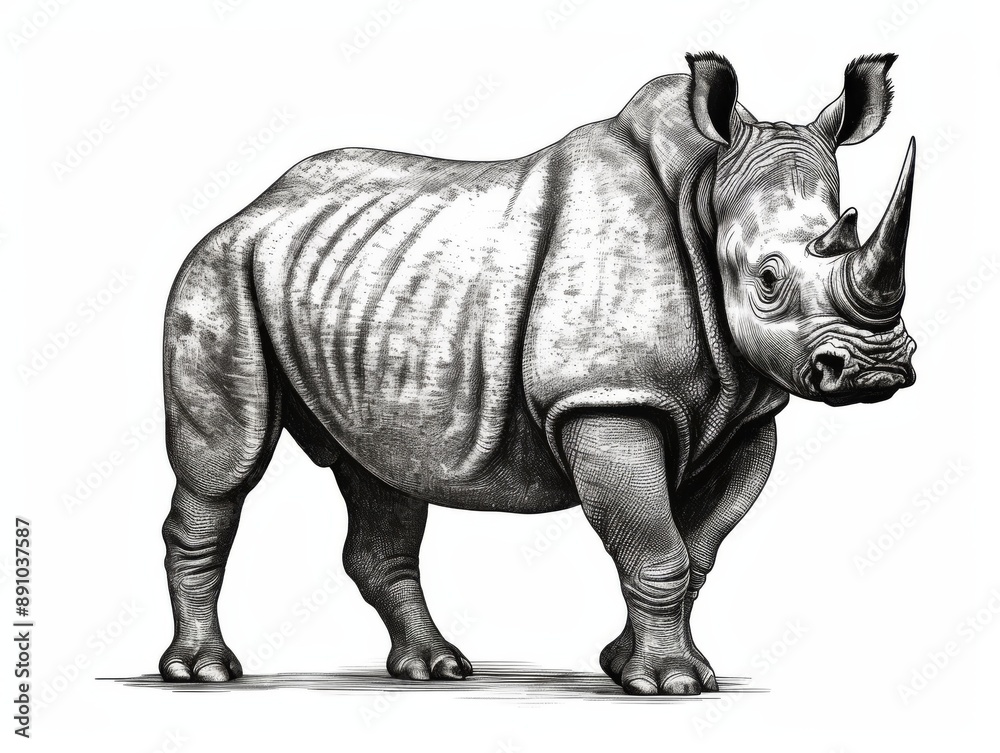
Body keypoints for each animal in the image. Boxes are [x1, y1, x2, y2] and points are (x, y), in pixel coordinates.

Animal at [159, 52, 916, 694]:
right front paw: (668, 684)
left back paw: (434, 668)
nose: (874, 367)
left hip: (350, 288)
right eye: (767, 280)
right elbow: (656, 546)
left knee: (380, 464)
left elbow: (697, 549)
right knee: (226, 465)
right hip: (218, 270)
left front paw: (641, 666)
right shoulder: (606, 399)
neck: (706, 188)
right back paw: (204, 672)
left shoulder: (748, 413)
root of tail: (252, 205)